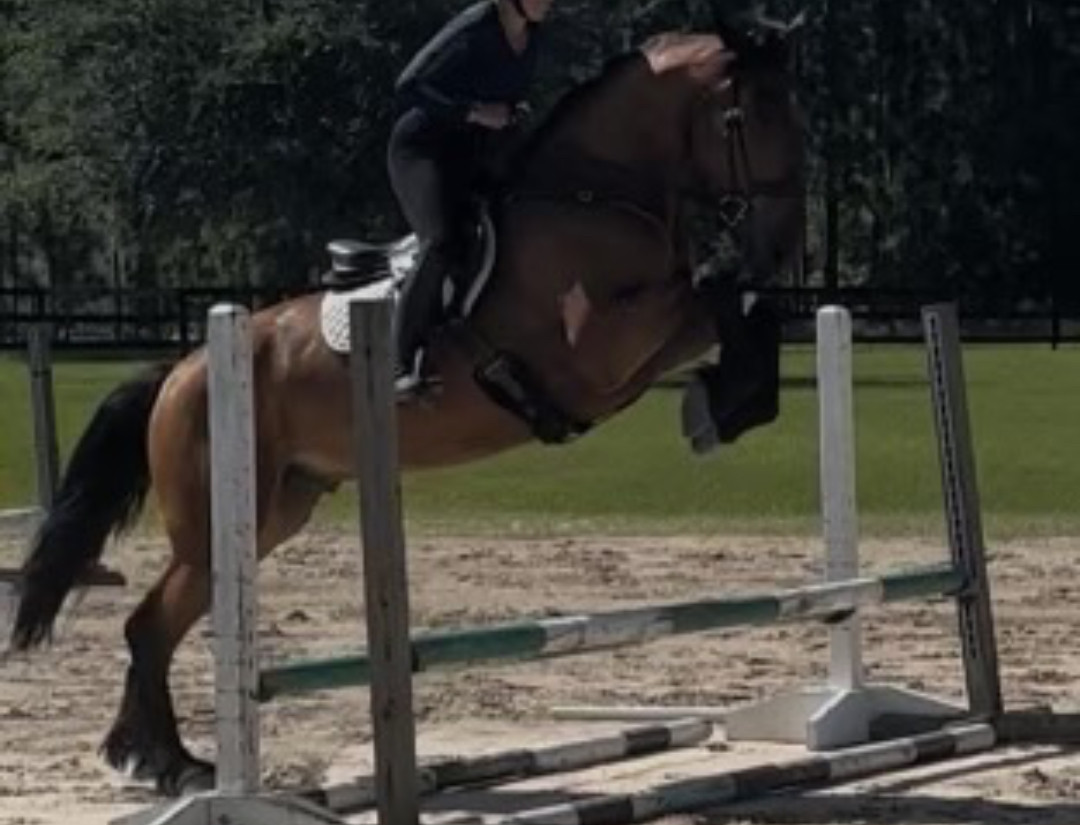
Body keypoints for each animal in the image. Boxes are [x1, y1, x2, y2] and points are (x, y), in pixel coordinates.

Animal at [8, 23, 805, 795]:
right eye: (751, 113)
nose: (782, 242)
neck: (592, 197)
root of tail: (181, 371)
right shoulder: (594, 352)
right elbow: (712, 288)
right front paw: (715, 400)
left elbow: (741, 306)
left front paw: (730, 401)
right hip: (218, 520)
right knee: (149, 624)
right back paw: (174, 764)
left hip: (274, 513)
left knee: (154, 622)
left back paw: (150, 757)